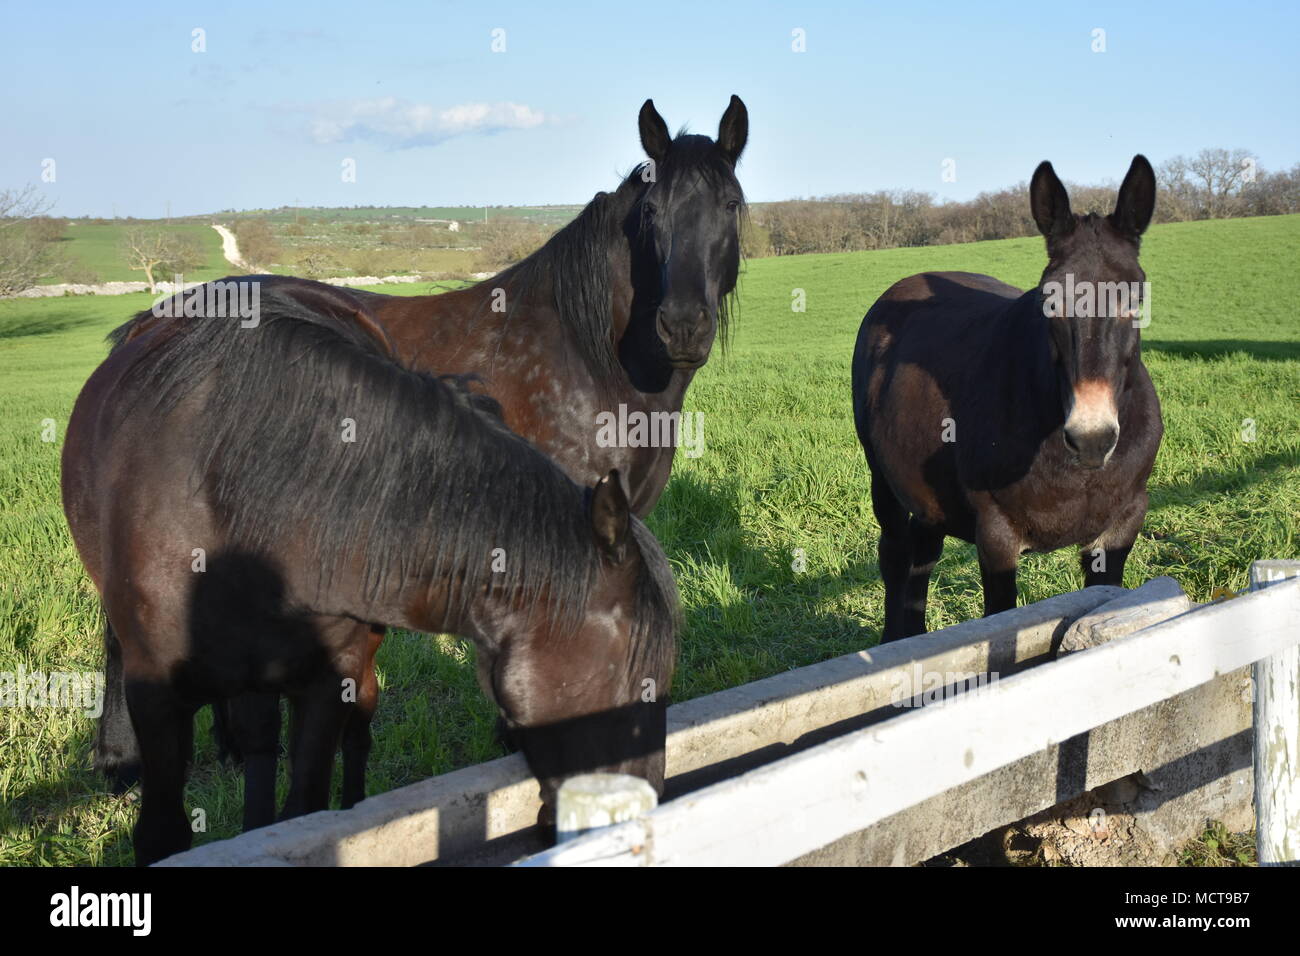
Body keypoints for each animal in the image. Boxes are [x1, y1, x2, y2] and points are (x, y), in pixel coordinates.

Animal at [61, 282, 680, 865]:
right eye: (637, 685)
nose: (642, 822)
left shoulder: (326, 682)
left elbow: (303, 813)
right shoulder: (159, 697)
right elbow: (162, 834)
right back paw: (120, 755)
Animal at [92, 96, 747, 820]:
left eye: (733, 206)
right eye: (653, 214)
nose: (683, 326)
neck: (587, 352)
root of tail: (158, 318)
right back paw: (118, 758)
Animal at [852, 155, 1162, 642]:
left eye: (1136, 298)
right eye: (1049, 300)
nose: (1092, 438)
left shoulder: (1120, 528)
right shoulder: (996, 536)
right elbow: (998, 624)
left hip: (927, 499)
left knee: (922, 556)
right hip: (882, 479)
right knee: (896, 558)